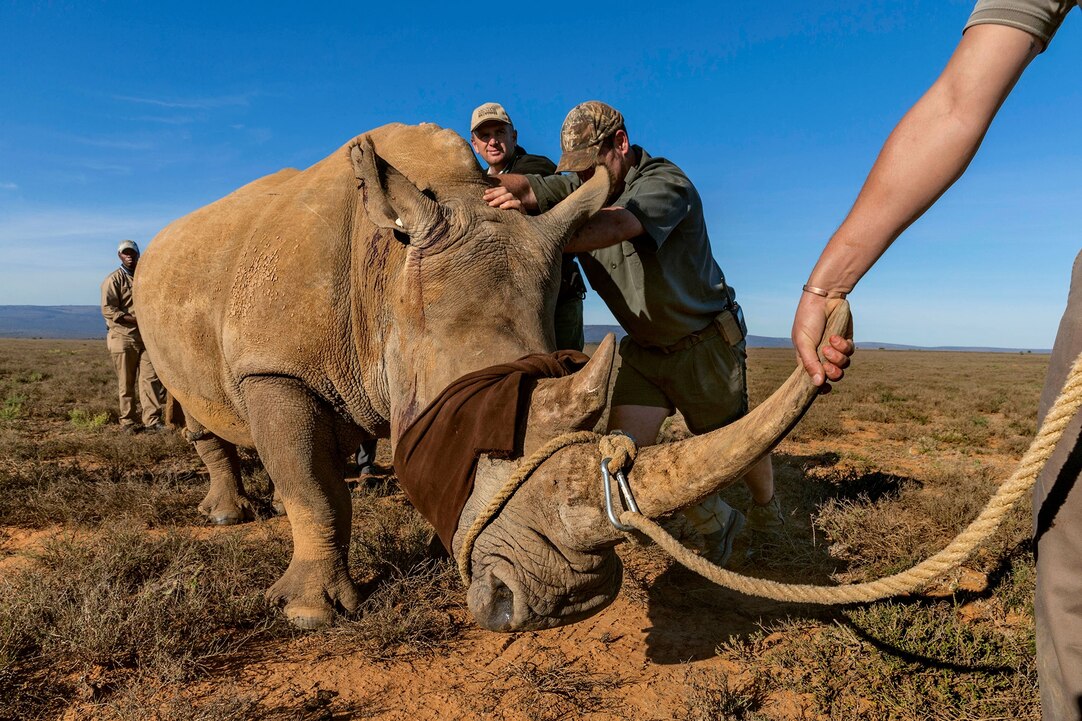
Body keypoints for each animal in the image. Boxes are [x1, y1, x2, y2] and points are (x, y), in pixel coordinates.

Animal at [136, 123, 843, 632]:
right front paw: (309, 614)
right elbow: (311, 489)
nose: (569, 601)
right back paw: (226, 517)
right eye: (475, 430)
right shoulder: (275, 369)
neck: (384, 277)